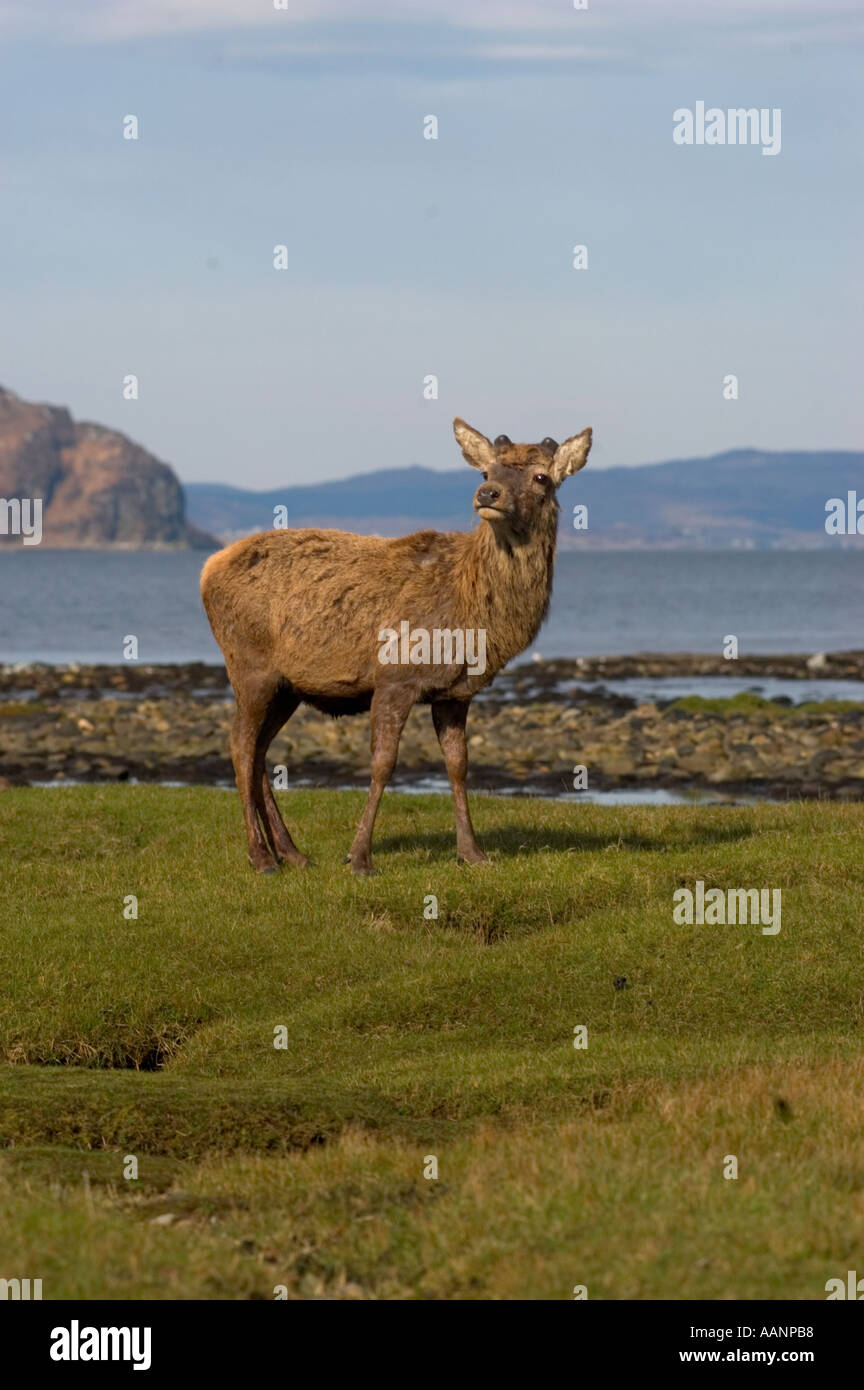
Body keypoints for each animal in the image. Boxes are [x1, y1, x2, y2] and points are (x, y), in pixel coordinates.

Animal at [200, 418, 592, 875]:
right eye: (486, 471)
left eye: (542, 477)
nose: (488, 494)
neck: (472, 614)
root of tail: (208, 568)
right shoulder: (395, 677)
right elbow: (383, 762)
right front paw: (359, 857)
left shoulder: (454, 693)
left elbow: (459, 766)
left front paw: (472, 852)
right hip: (249, 665)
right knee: (240, 745)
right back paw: (261, 856)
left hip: (287, 686)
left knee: (260, 750)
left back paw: (292, 853)